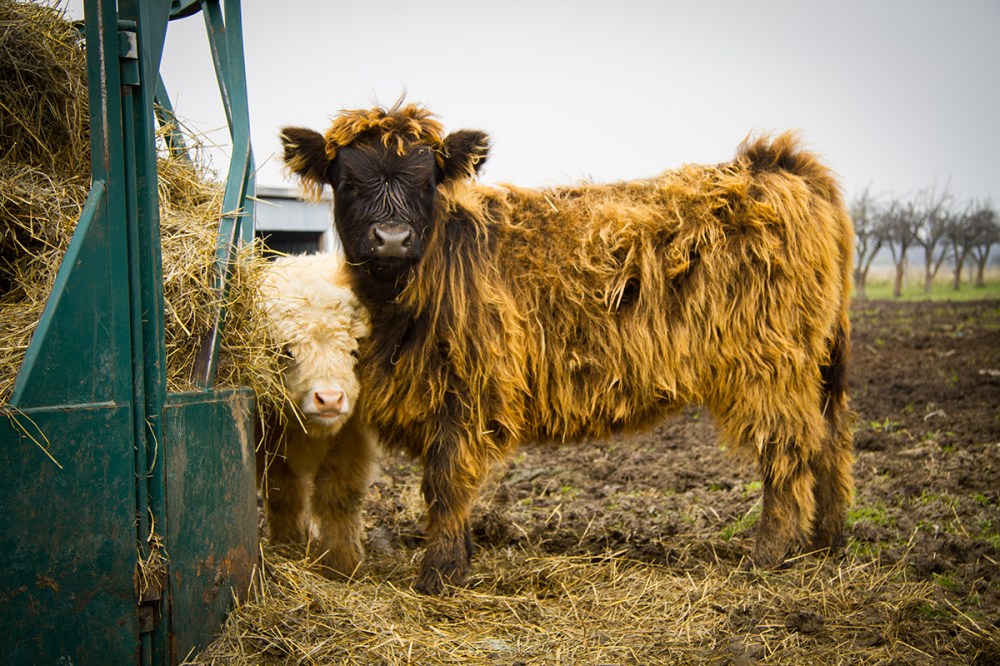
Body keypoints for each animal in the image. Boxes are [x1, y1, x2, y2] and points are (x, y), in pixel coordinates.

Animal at [280, 102, 855, 595]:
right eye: (347, 182)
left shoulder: (469, 389)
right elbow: (452, 486)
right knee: (830, 441)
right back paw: (825, 543)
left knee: (788, 450)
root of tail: (775, 163)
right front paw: (460, 560)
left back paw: (769, 555)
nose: (393, 238)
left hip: (769, 368)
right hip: (819, 364)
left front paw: (439, 575)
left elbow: (446, 481)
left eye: (427, 180)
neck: (399, 302)